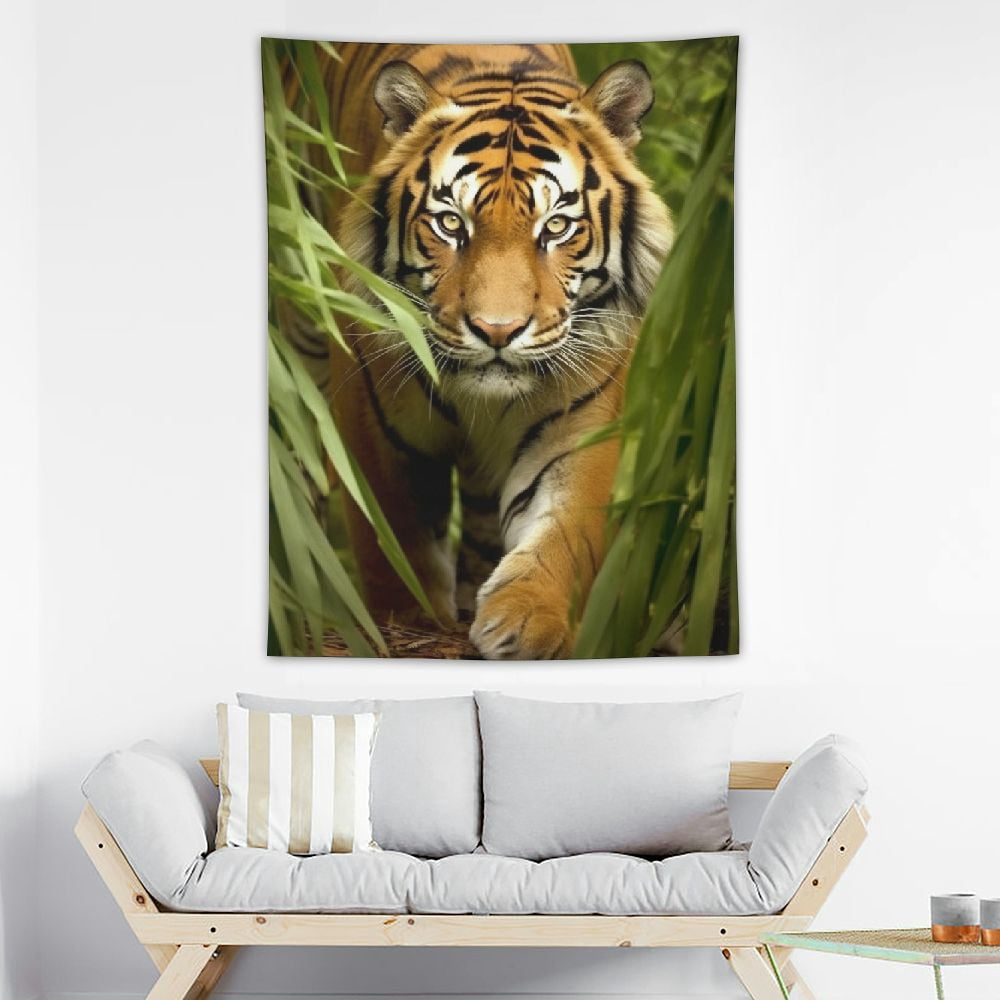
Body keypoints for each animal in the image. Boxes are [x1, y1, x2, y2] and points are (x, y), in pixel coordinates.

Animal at [295, 43, 672, 658]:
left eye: (557, 227)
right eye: (451, 223)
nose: (497, 331)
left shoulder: (580, 424)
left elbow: (565, 533)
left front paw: (529, 622)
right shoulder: (374, 427)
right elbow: (394, 548)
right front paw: (409, 622)